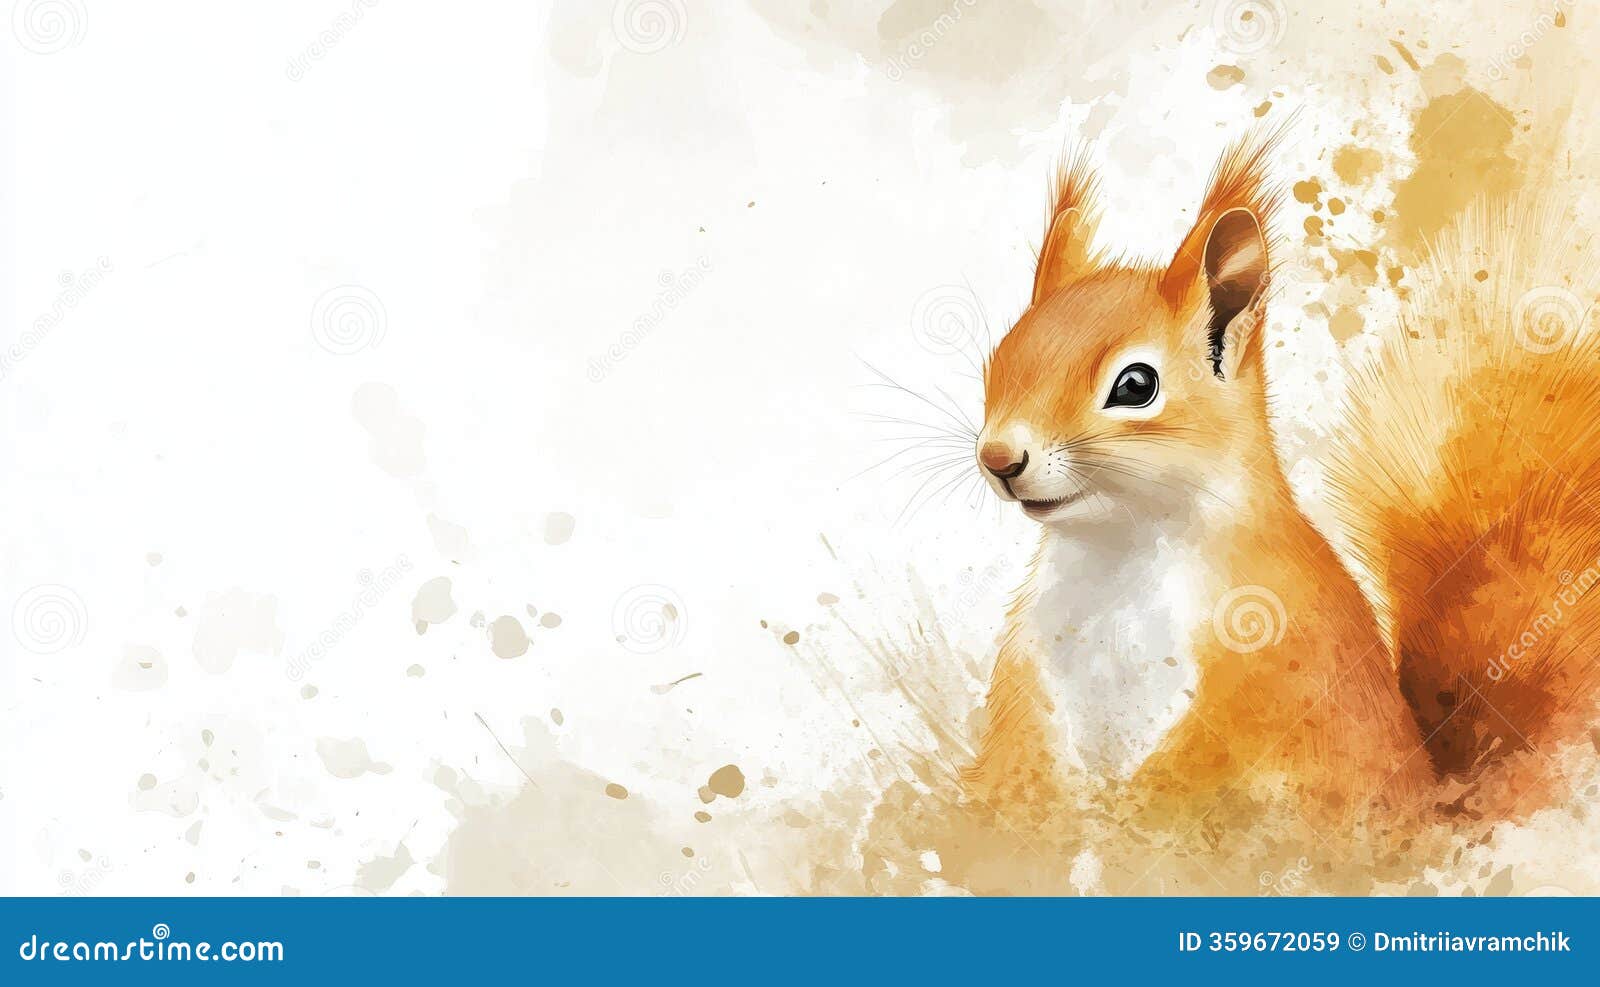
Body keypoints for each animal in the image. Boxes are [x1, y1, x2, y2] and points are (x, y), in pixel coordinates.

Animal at [959, 129, 1600, 832]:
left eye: (1135, 385)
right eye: (997, 363)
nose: (999, 458)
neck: (1114, 557)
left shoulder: (1267, 649)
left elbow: (1209, 753)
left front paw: (1125, 815)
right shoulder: (1029, 667)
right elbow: (1016, 755)